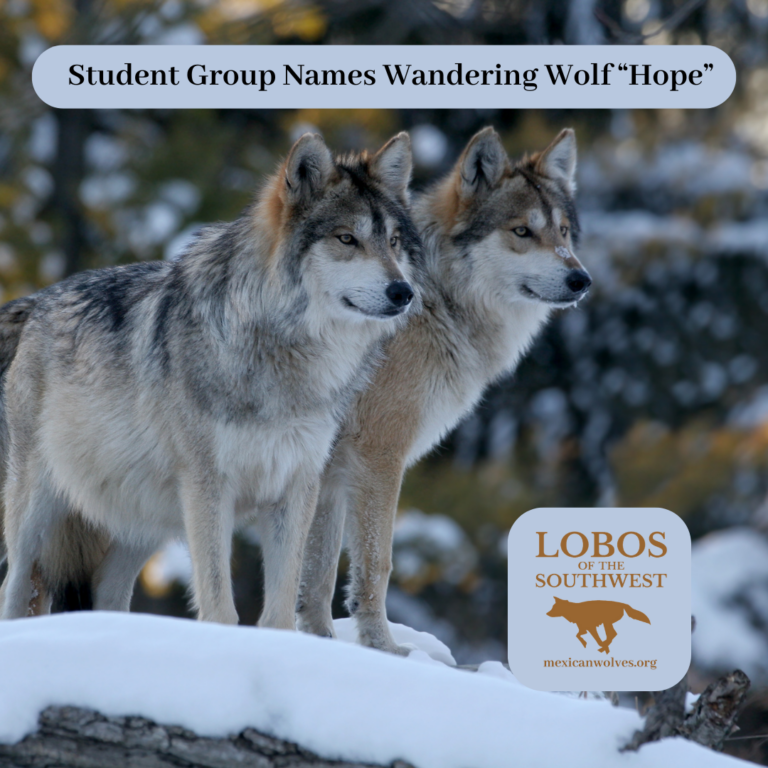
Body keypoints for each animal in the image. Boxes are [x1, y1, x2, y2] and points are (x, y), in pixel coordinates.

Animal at [0, 131, 421, 627]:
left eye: (393, 241)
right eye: (347, 239)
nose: (403, 292)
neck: (286, 358)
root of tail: (35, 303)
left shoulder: (296, 487)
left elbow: (279, 610)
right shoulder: (209, 488)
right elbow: (220, 607)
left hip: (142, 523)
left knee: (107, 592)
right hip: (36, 513)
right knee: (15, 588)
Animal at [297, 127, 592, 654]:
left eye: (562, 232)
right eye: (522, 231)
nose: (582, 279)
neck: (439, 302)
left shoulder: (330, 470)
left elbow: (317, 575)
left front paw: (322, 644)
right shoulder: (378, 455)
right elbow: (377, 564)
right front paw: (385, 649)